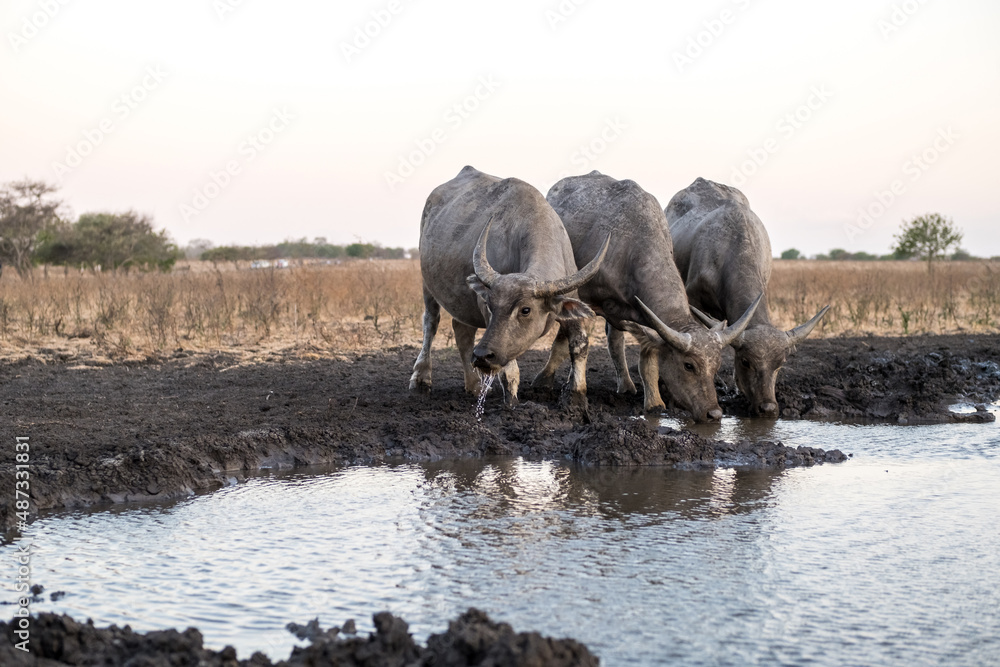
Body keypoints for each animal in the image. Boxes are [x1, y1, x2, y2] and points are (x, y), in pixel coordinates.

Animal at [409, 166, 609, 408]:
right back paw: (421, 380)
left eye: (525, 310)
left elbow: (579, 344)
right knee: (431, 322)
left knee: (462, 331)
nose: (482, 356)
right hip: (427, 284)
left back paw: (474, 386)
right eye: (490, 305)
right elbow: (510, 368)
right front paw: (511, 401)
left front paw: (577, 398)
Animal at [535, 171, 761, 422]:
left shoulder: (648, 320)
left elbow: (648, 362)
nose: (714, 413)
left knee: (615, 341)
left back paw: (625, 385)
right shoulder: (581, 300)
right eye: (689, 365)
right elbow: (573, 342)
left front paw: (654, 403)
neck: (628, 246)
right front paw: (566, 390)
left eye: (718, 365)